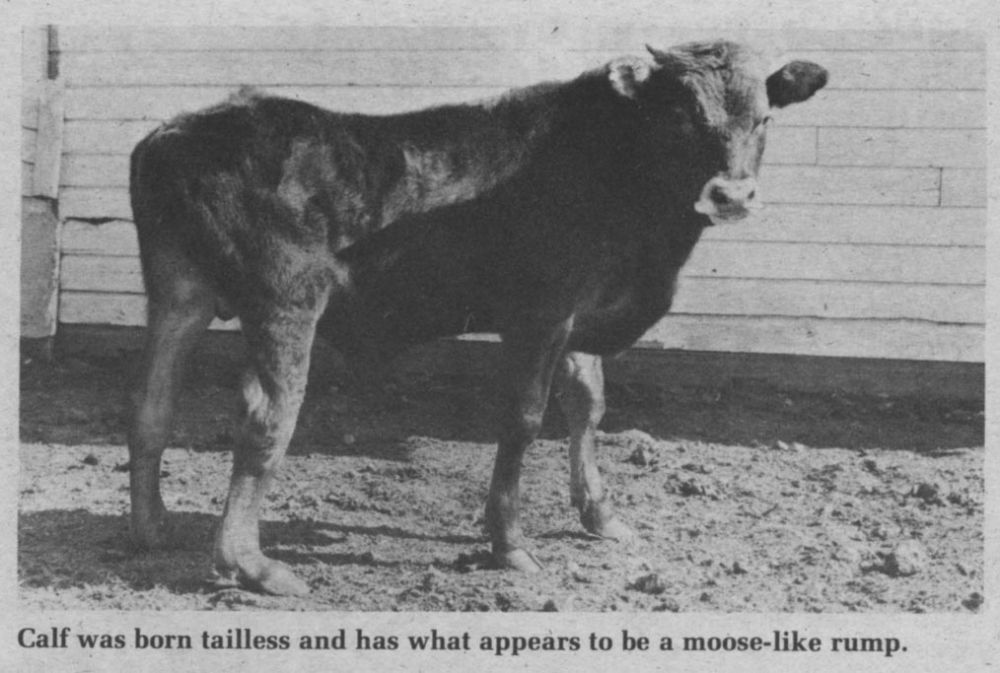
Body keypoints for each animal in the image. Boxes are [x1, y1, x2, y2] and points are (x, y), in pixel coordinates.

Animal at [128, 40, 827, 596]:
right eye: (682, 115)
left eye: (765, 116)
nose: (730, 194)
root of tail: (175, 131)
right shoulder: (540, 311)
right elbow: (524, 419)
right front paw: (509, 544)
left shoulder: (582, 309)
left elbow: (588, 405)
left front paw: (600, 516)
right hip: (285, 301)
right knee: (264, 420)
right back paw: (249, 565)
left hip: (178, 293)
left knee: (153, 406)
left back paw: (154, 526)